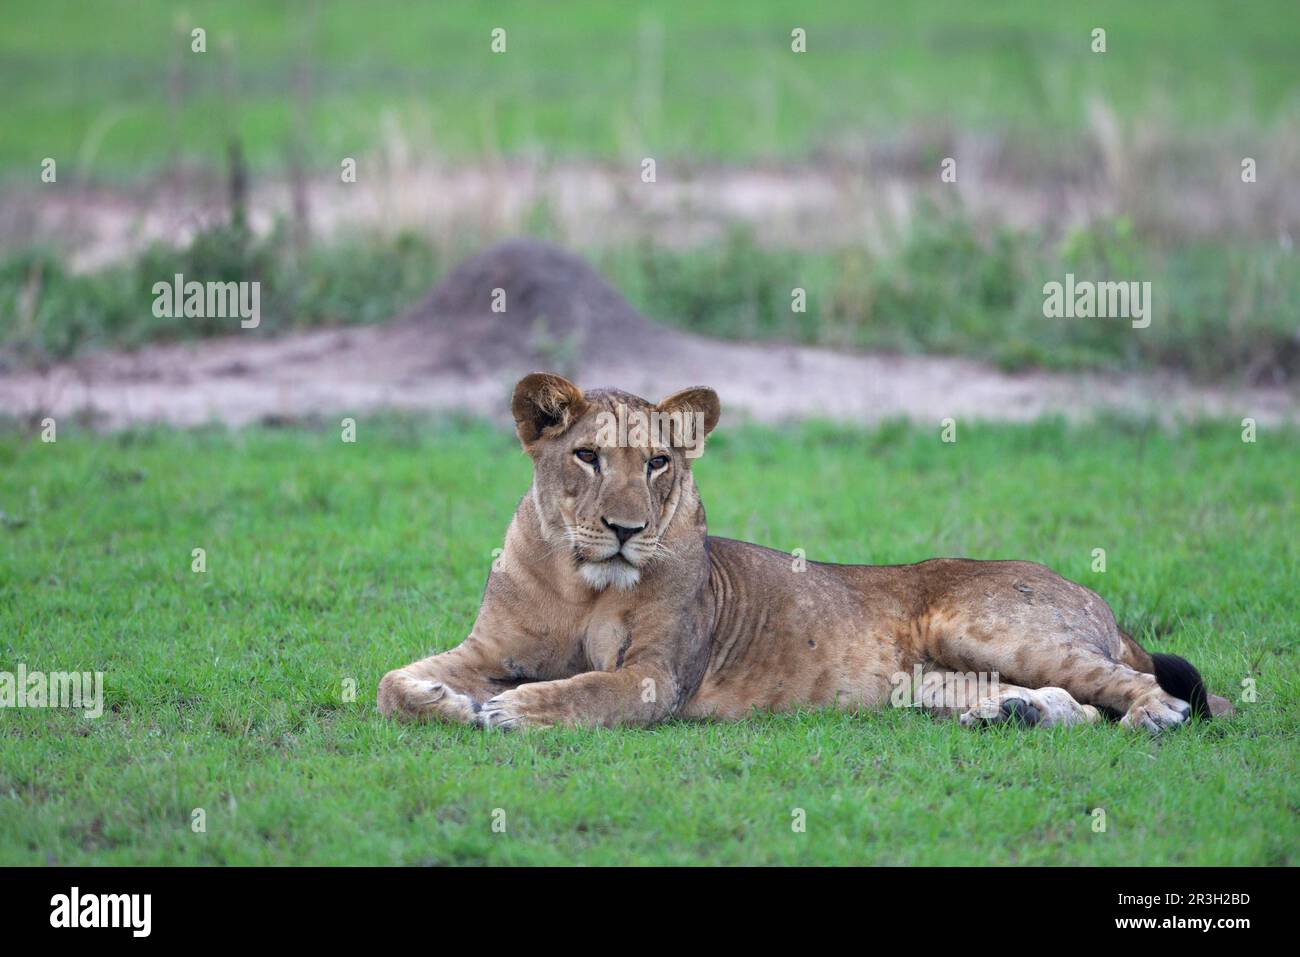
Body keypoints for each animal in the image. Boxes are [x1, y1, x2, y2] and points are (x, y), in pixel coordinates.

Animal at [378, 373, 1233, 731]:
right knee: (1080, 707)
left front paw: (509, 709)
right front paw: (448, 699)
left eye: (656, 462)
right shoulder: (490, 648)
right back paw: (1013, 713)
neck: (579, 579)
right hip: (928, 676)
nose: (625, 528)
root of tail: (1095, 597)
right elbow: (392, 683)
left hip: (987, 625)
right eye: (587, 456)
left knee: (1153, 690)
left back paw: (1148, 717)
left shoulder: (658, 676)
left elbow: (583, 689)